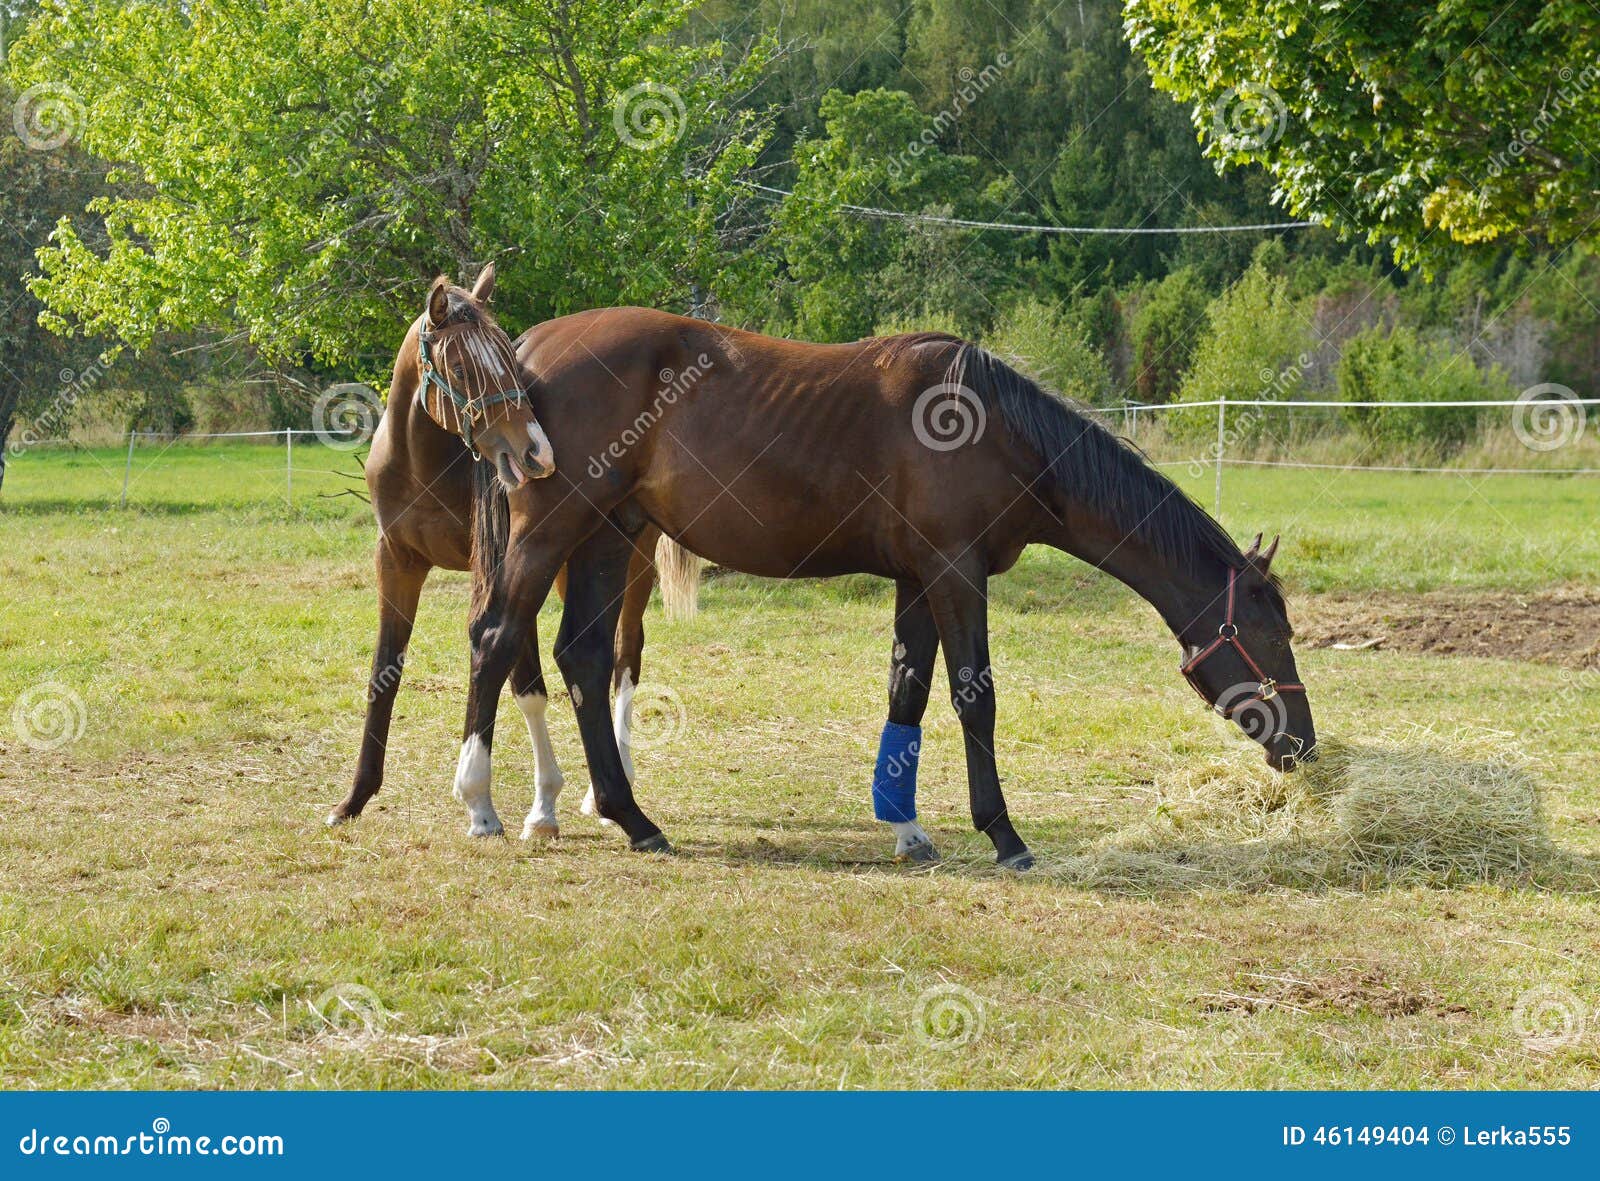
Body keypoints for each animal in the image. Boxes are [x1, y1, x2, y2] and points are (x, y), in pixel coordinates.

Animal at [324, 265, 701, 839]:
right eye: (460, 368)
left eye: (513, 362)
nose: (535, 452)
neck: (423, 464)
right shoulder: (396, 562)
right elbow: (384, 672)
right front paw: (354, 799)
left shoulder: (502, 566)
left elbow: (525, 685)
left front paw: (523, 807)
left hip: (631, 568)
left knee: (625, 657)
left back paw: (608, 787)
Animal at [420, 296, 1317, 870]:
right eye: (1271, 632)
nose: (1302, 746)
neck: (992, 425)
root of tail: (527, 355)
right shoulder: (955, 571)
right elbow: (973, 695)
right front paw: (1004, 834)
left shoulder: (919, 579)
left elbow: (907, 694)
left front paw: (908, 827)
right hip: (553, 530)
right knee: (497, 638)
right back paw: (481, 804)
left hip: (610, 536)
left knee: (581, 654)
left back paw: (632, 816)